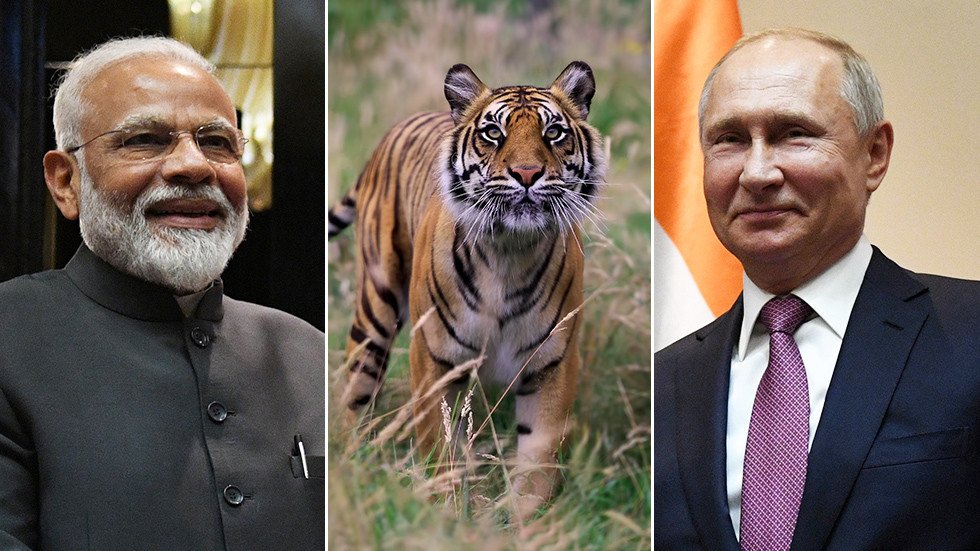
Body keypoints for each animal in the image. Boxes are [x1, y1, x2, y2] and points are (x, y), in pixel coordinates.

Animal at [328, 61, 606, 520]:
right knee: (355, 391)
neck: (509, 252)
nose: (527, 174)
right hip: (375, 309)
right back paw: (348, 461)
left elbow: (538, 456)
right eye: (493, 132)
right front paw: (446, 511)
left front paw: (524, 520)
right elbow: (439, 444)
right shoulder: (433, 356)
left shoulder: (552, 362)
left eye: (553, 133)